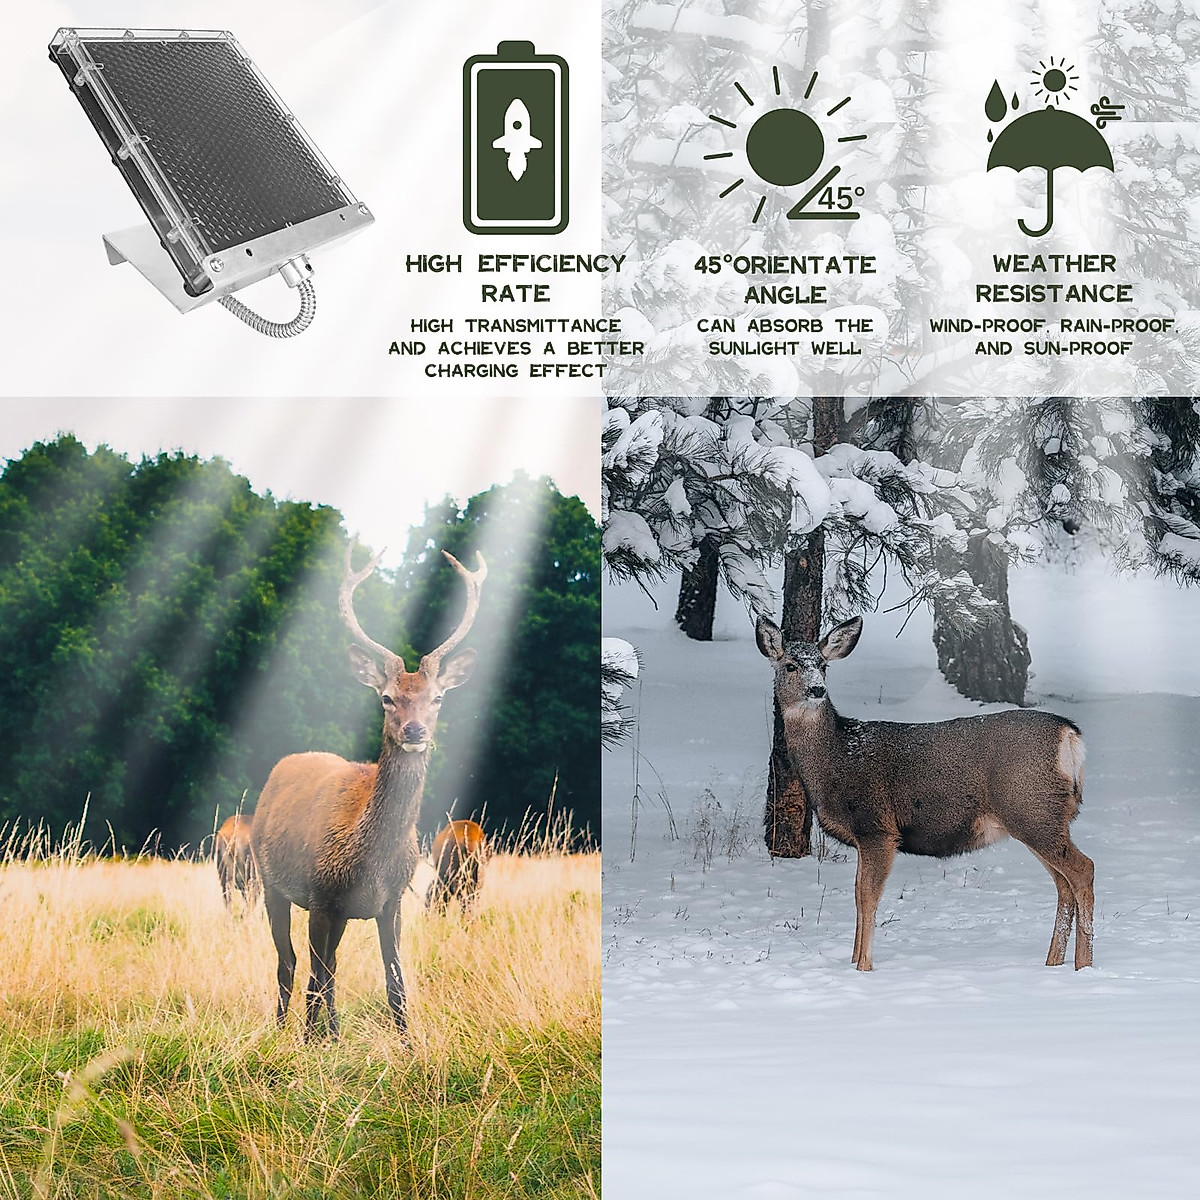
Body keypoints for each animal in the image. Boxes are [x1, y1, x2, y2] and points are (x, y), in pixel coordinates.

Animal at [251, 540, 486, 1039]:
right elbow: (317, 977)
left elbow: (394, 979)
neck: (370, 863)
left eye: (438, 697)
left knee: (323, 967)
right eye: (386, 697)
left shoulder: (392, 901)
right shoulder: (321, 897)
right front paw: (313, 1044)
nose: (415, 730)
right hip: (270, 881)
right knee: (291, 963)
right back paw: (283, 1029)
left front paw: (407, 1043)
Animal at [756, 614, 1094, 972]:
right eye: (790, 665)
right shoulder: (864, 837)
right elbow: (858, 894)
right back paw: (1053, 964)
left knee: (1083, 870)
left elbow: (867, 897)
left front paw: (863, 967)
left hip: (1032, 808)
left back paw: (1083, 966)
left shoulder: (877, 828)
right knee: (1063, 884)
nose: (817, 689)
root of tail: (1070, 734)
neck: (835, 757)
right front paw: (852, 962)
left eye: (822, 665)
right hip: (1039, 816)